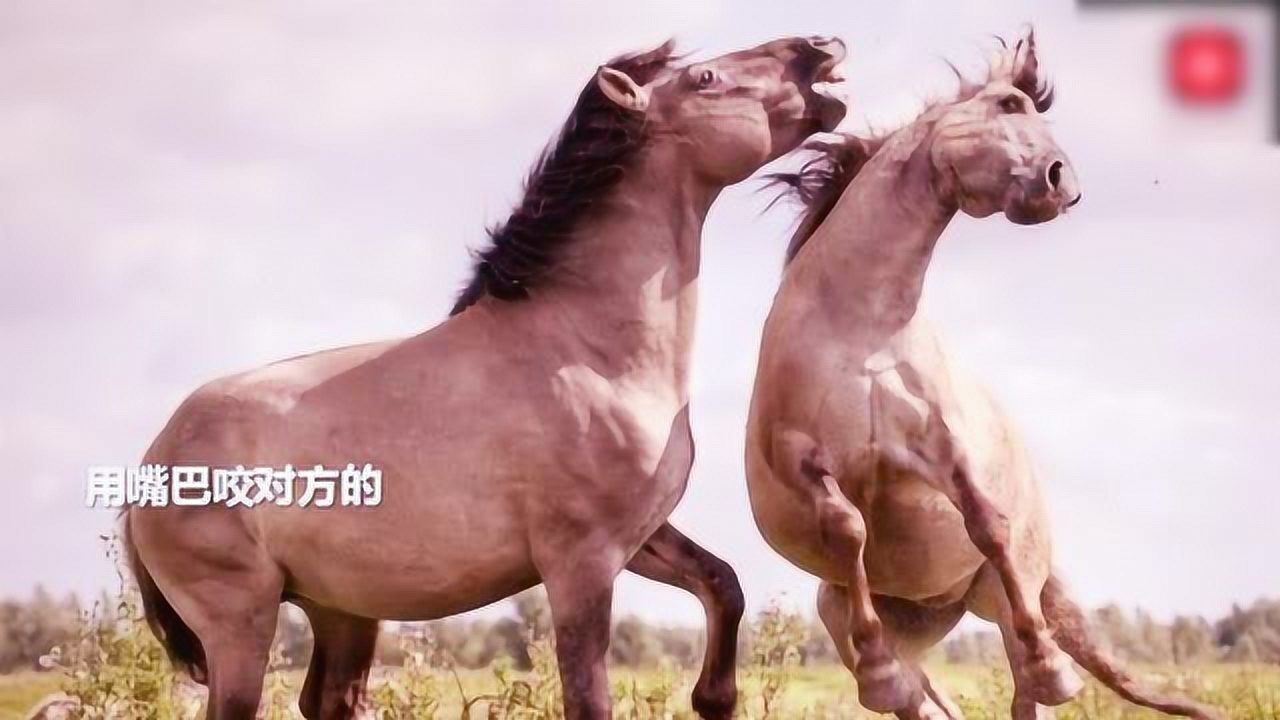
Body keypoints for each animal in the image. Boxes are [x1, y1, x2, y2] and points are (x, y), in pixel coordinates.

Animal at [123, 36, 849, 720]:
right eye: (705, 78)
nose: (818, 48)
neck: (588, 350)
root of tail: (152, 465)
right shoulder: (580, 562)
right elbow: (588, 695)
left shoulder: (639, 537)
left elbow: (723, 584)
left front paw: (714, 698)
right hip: (242, 624)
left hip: (341, 608)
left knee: (328, 699)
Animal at [746, 31, 1219, 720]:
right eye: (1009, 103)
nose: (1063, 184)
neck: (862, 328)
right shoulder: (800, 457)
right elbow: (848, 526)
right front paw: (878, 673)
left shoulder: (938, 447)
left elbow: (986, 519)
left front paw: (1053, 664)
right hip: (885, 622)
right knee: (920, 696)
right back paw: (888, 676)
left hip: (999, 598)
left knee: (1023, 679)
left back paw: (1045, 666)